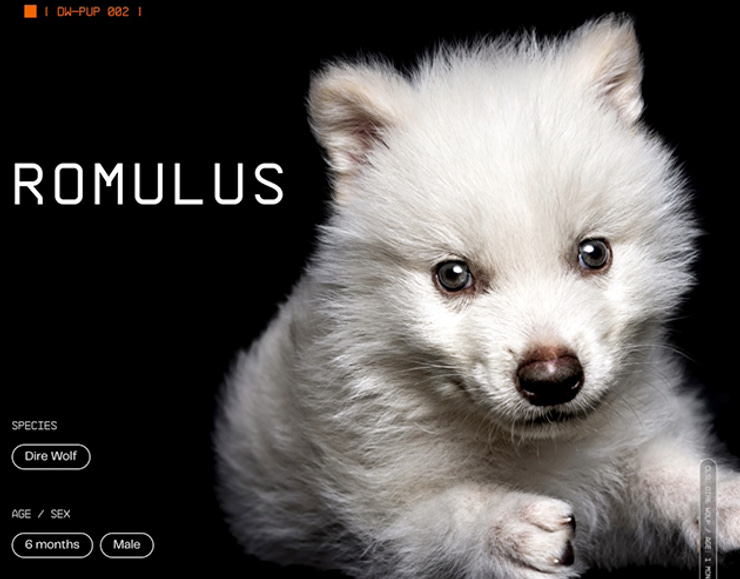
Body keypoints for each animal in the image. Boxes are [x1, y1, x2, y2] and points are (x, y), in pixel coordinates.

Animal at [215, 16, 740, 578]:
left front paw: (724, 499)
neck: (530, 448)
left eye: (594, 253)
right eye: (453, 276)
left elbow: (659, 468)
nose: (553, 379)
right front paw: (506, 528)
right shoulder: (373, 508)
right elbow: (440, 514)